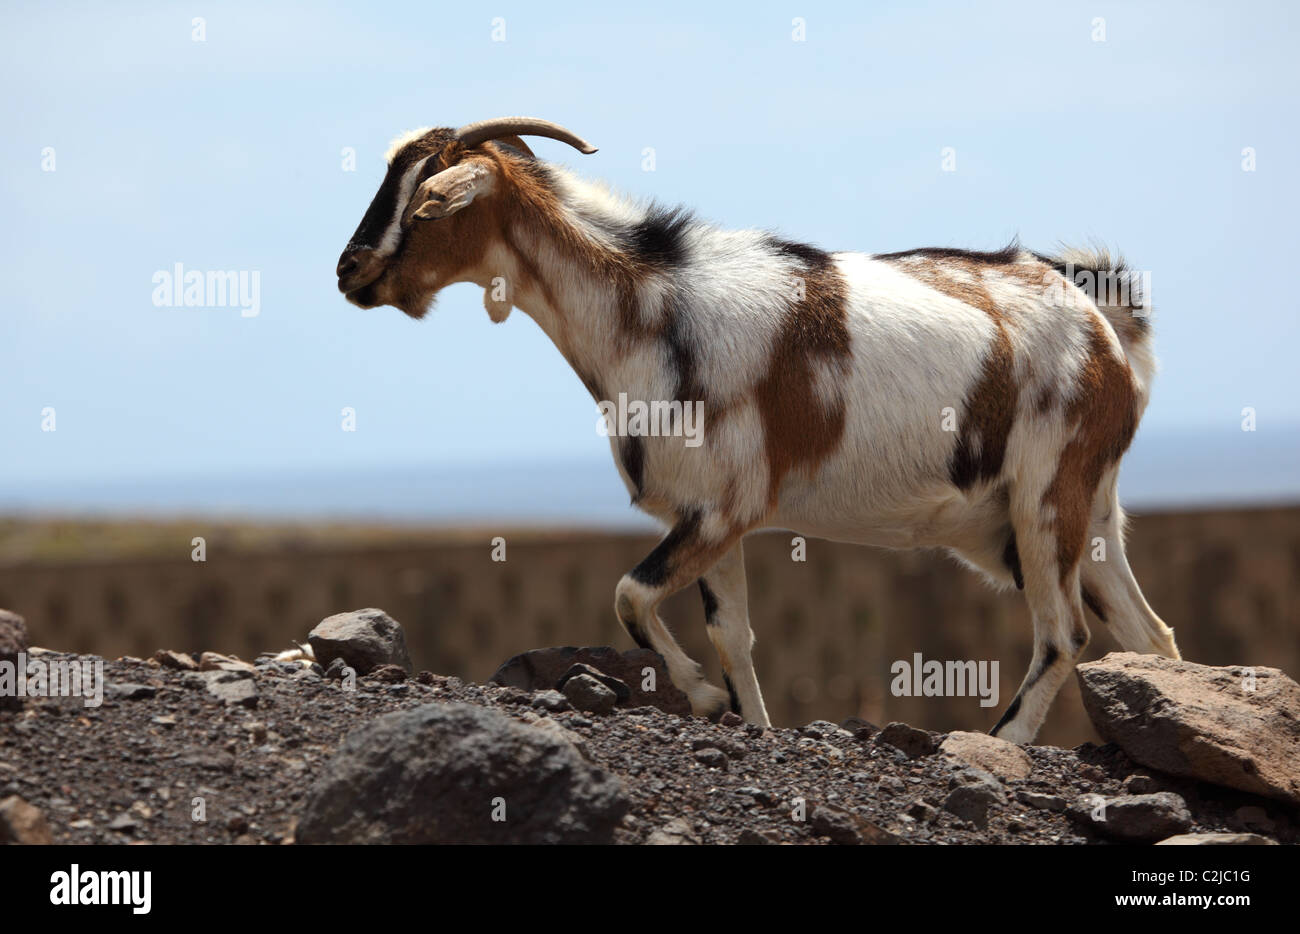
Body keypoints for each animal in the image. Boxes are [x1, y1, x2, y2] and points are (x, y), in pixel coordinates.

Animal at [336, 116, 1180, 743]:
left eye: (425, 201)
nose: (349, 271)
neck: (651, 307)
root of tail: (1100, 315)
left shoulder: (724, 507)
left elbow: (630, 596)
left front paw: (706, 702)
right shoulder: (710, 518)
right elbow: (732, 635)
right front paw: (747, 720)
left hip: (1046, 496)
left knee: (1064, 634)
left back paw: (1001, 744)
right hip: (1085, 512)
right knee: (1151, 637)